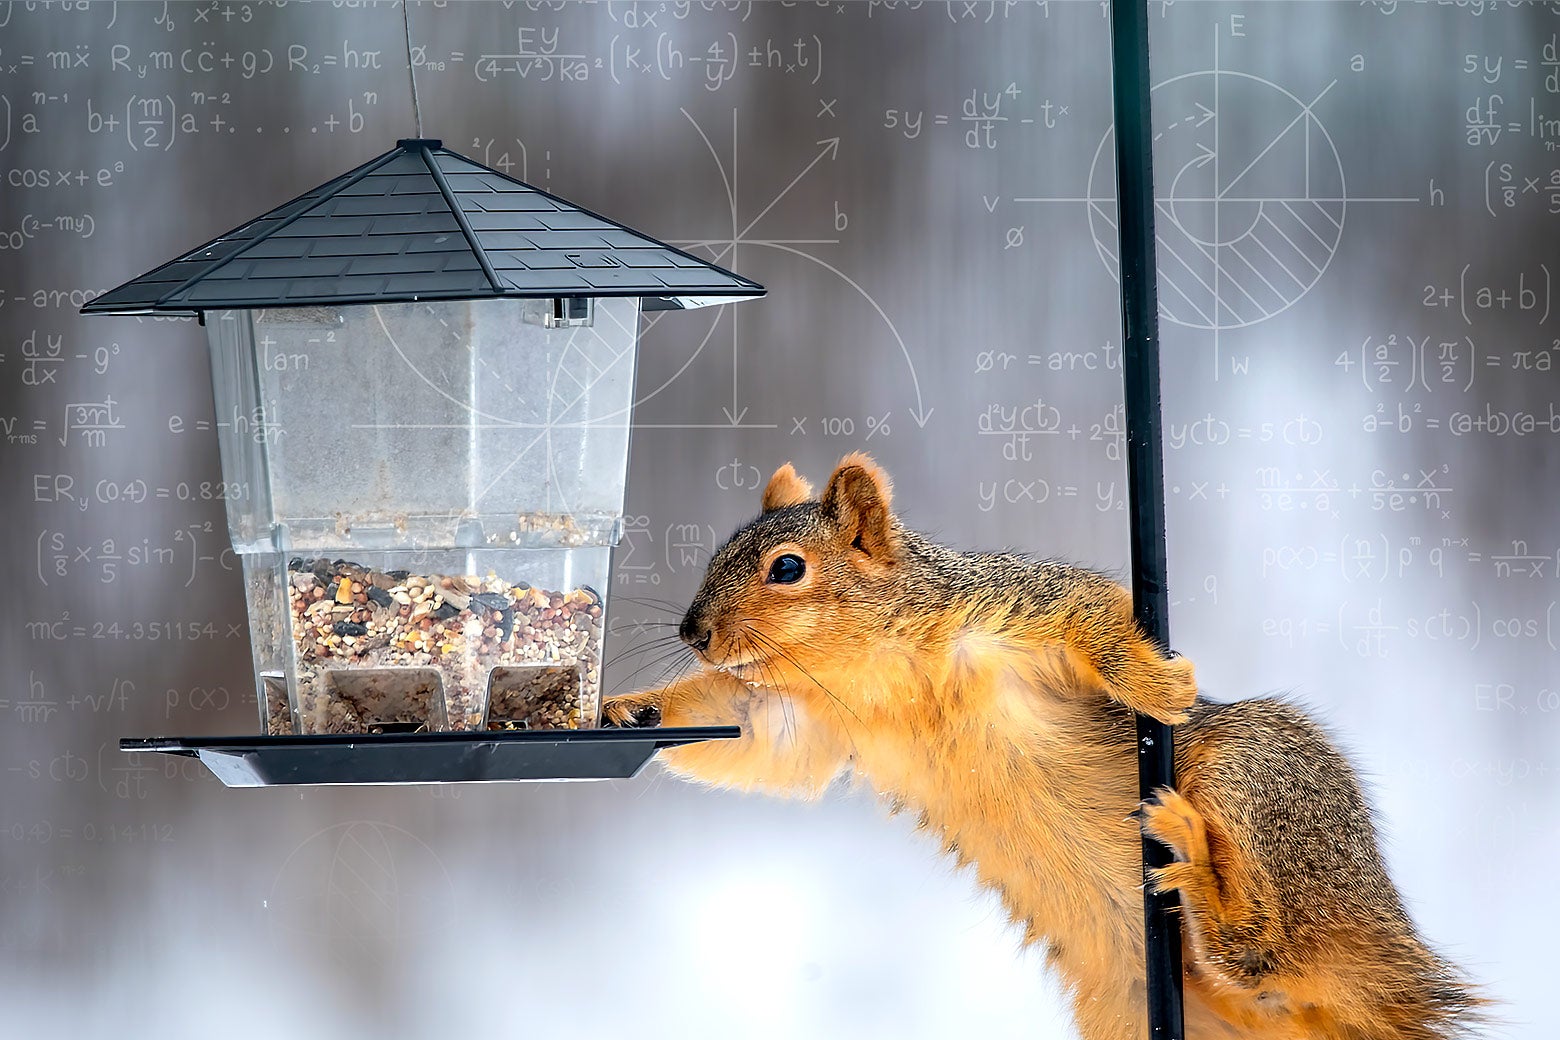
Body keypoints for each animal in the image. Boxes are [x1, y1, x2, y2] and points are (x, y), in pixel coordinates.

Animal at [602, 453, 1483, 1040]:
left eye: (787, 568)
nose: (693, 634)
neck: (872, 672)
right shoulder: (815, 723)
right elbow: (756, 741)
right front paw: (629, 709)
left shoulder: (1012, 607)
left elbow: (1094, 614)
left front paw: (1155, 682)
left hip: (1259, 774)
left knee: (1260, 947)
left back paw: (1196, 864)